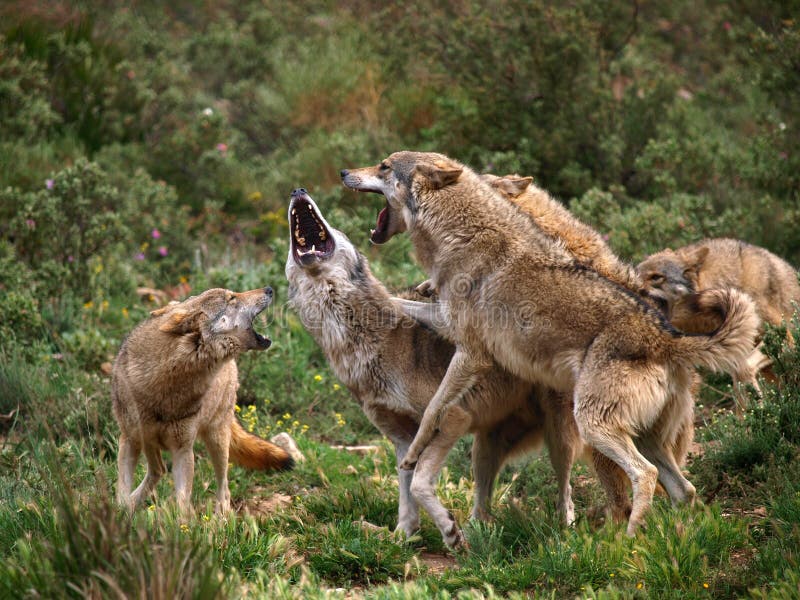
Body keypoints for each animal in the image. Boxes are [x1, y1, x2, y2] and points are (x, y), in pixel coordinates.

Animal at [112, 286, 293, 514]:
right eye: (231, 298)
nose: (269, 289)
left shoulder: (183, 450)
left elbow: (182, 504)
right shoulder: (129, 439)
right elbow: (122, 490)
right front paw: (119, 513)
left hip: (217, 440)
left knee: (224, 489)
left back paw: (220, 519)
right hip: (149, 441)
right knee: (158, 470)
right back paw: (134, 502)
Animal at [285, 188, 585, 547]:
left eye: (336, 228)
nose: (298, 191)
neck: (358, 340)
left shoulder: (452, 418)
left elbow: (418, 484)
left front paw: (448, 530)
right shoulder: (402, 439)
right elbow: (405, 487)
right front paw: (402, 536)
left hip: (559, 439)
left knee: (568, 494)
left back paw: (562, 536)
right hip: (483, 450)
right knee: (484, 505)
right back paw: (479, 535)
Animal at [341, 151, 760, 535]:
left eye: (383, 166)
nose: (344, 172)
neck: (462, 233)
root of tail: (666, 337)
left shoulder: (471, 353)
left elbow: (431, 411)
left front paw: (412, 455)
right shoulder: (447, 324)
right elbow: (396, 303)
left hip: (592, 428)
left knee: (644, 476)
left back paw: (627, 541)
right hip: (643, 438)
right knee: (683, 489)